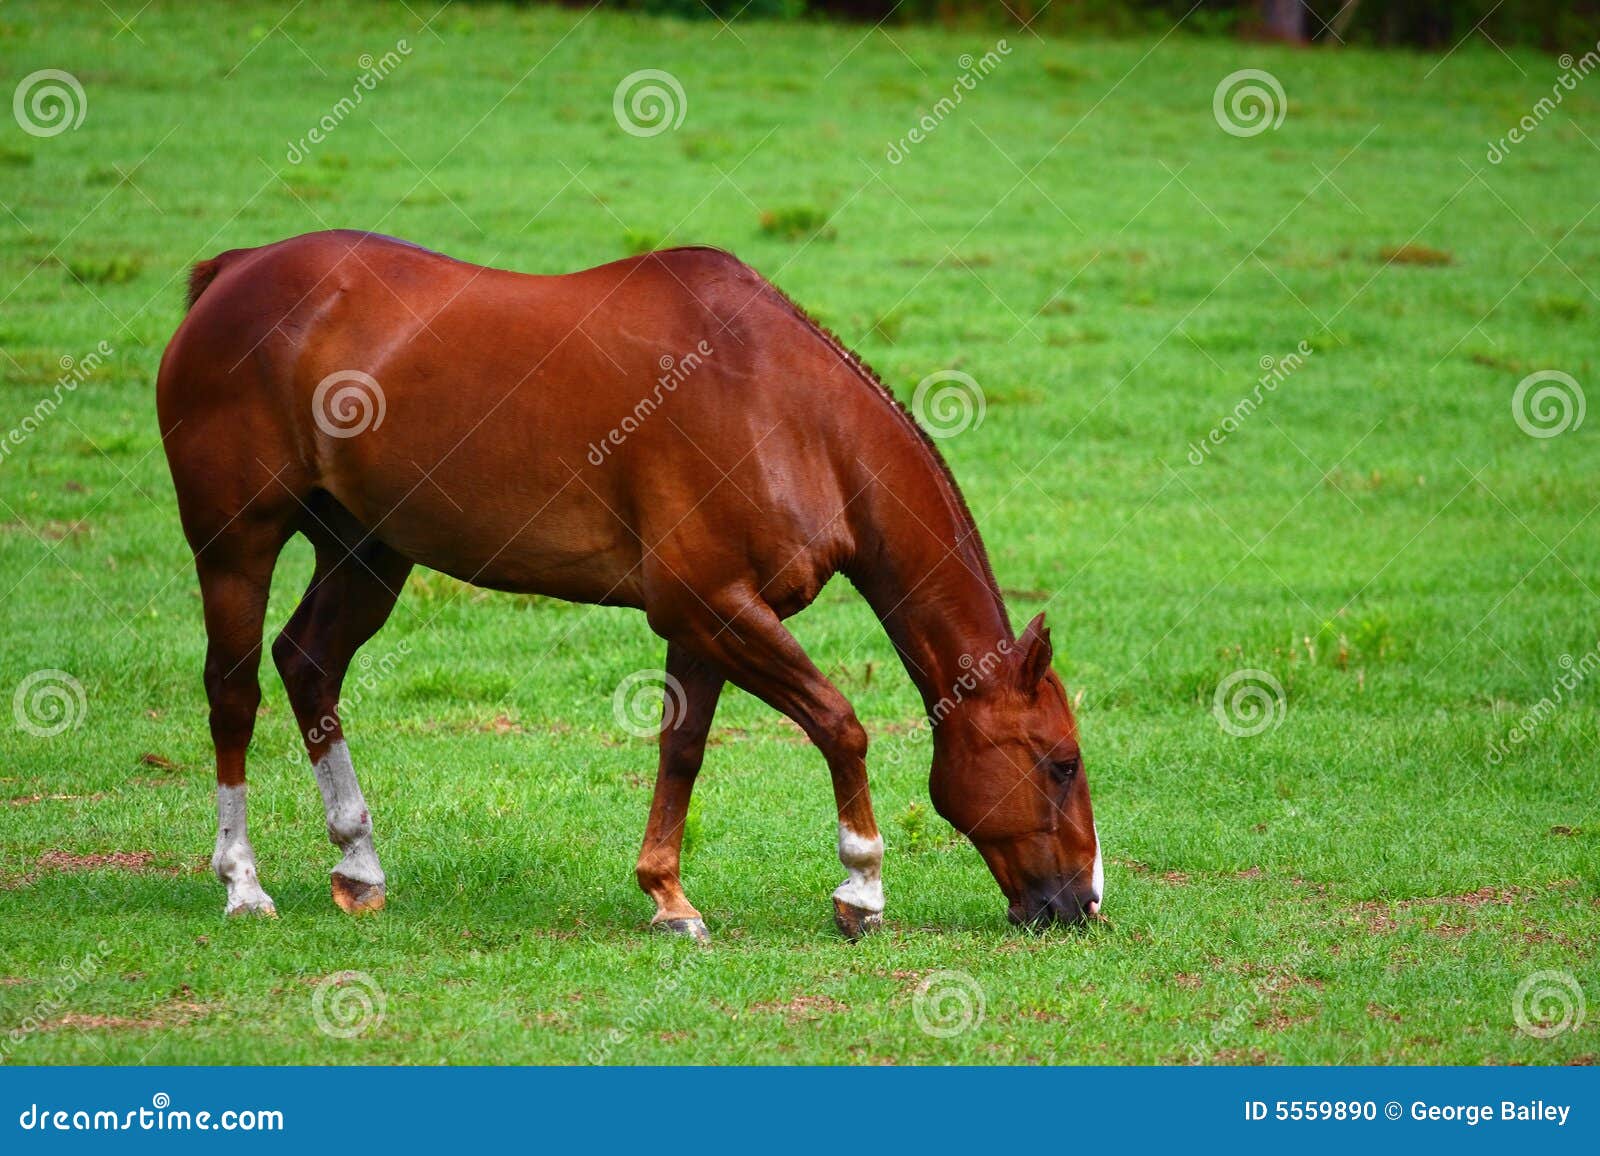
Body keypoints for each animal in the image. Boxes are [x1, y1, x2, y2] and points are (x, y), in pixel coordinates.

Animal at [157, 230, 1101, 941]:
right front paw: (861, 889)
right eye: (1061, 763)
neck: (785, 409)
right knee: (233, 692)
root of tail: (234, 271)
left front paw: (667, 895)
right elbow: (841, 725)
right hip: (237, 546)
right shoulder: (712, 606)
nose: (1084, 904)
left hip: (368, 552)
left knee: (308, 664)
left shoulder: (708, 622)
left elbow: (682, 749)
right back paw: (242, 883)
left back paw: (358, 862)